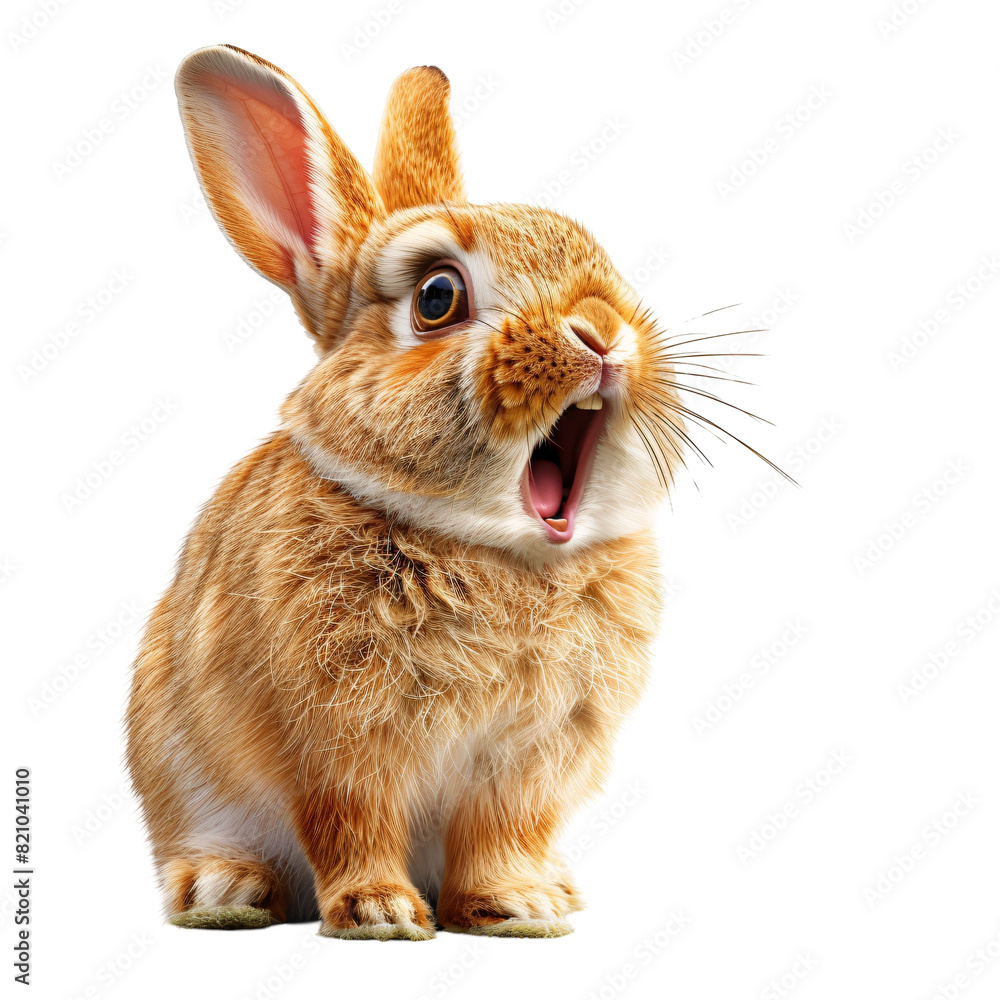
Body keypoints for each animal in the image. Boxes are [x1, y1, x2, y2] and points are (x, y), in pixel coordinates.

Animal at [125, 43, 692, 940]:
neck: (495, 547)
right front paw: (379, 913)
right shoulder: (335, 740)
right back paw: (223, 891)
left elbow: (501, 833)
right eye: (437, 297)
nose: (602, 333)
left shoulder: (528, 758)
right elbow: (348, 819)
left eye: (601, 262)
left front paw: (517, 906)